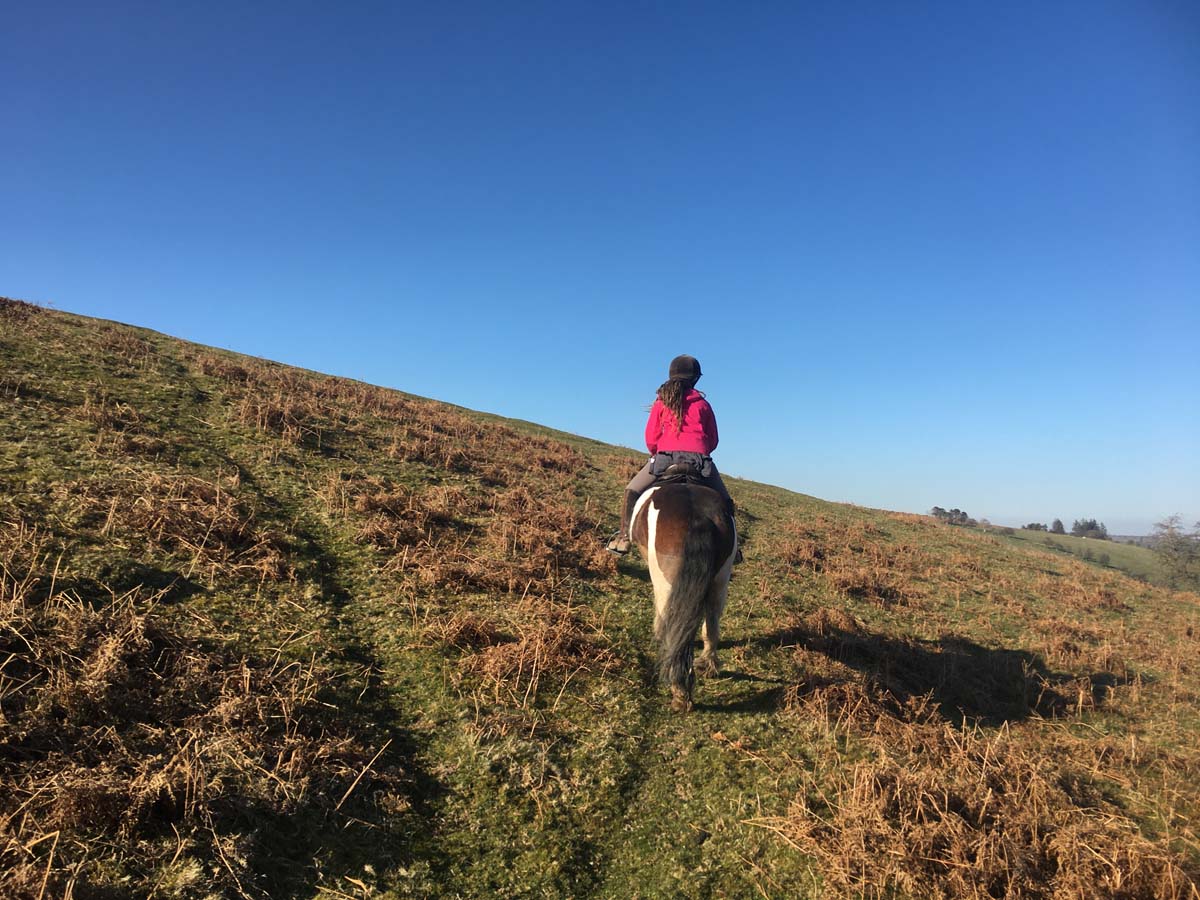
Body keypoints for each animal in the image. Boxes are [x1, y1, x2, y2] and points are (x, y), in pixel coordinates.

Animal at [629, 468, 738, 711]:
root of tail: (698, 518)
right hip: (720, 580)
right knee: (711, 625)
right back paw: (708, 665)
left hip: (665, 580)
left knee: (670, 620)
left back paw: (679, 690)